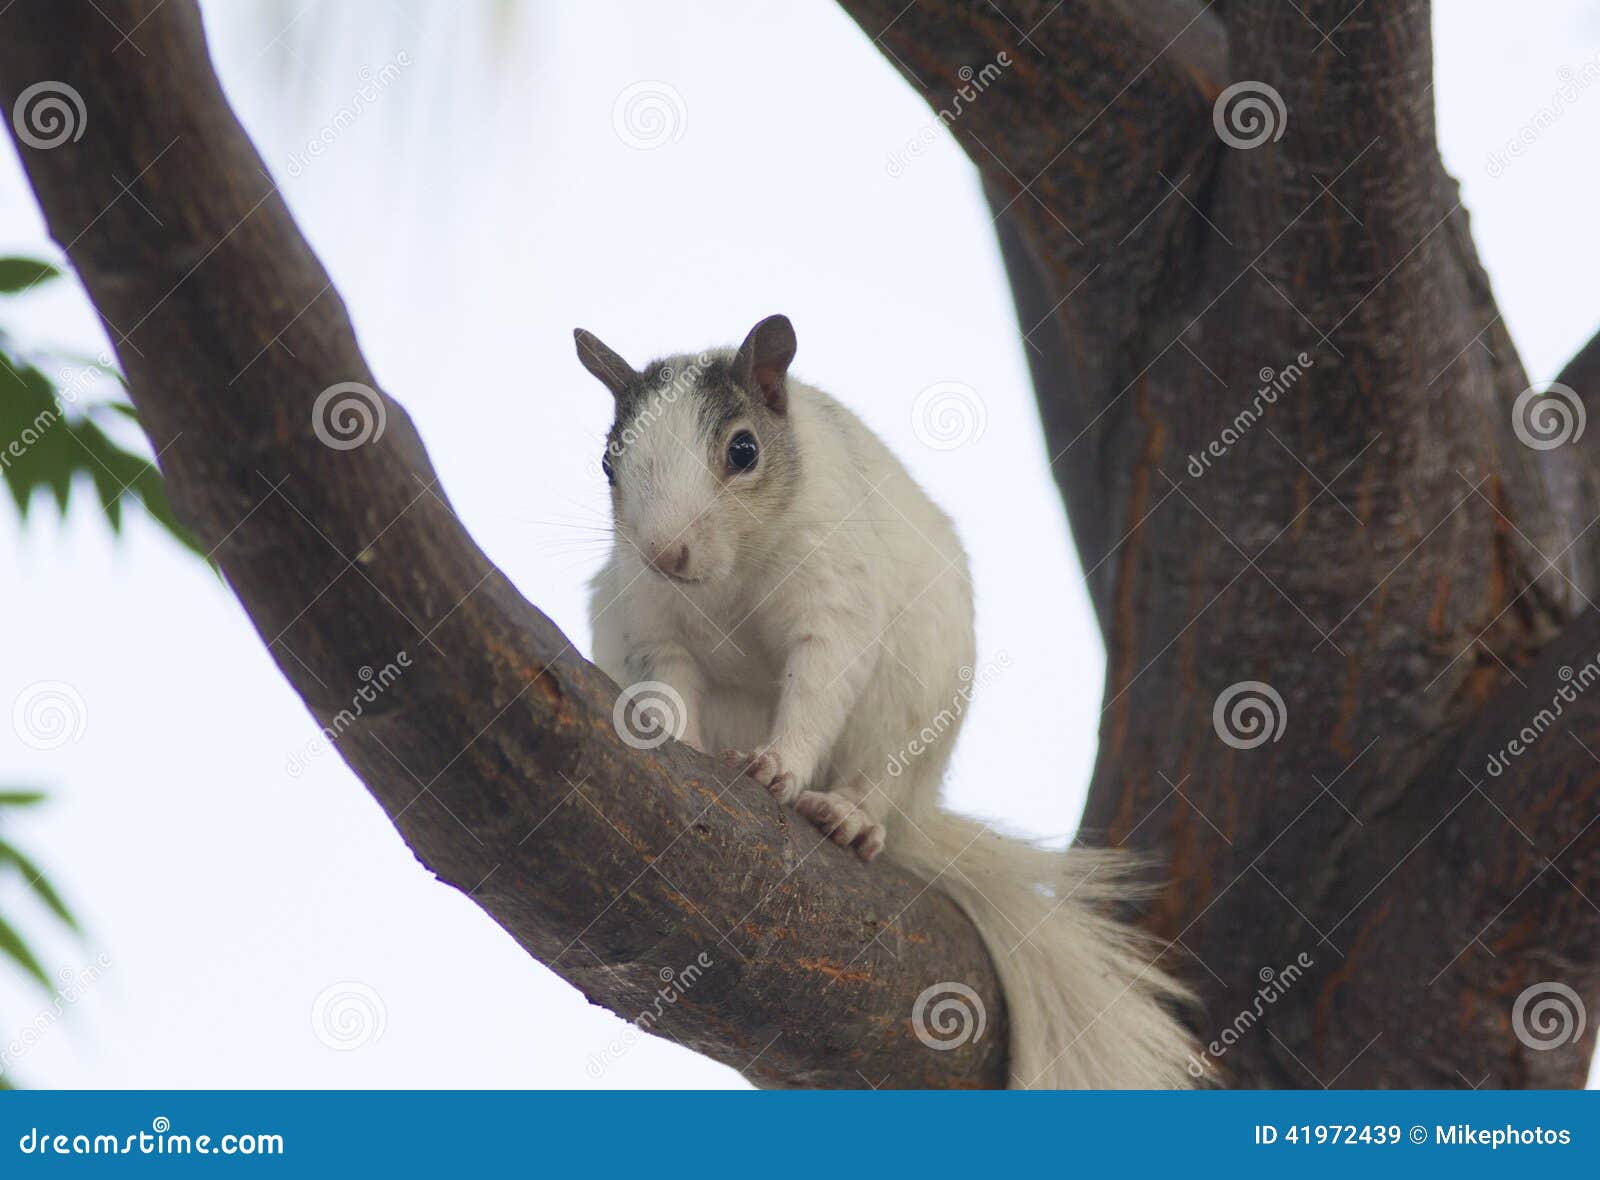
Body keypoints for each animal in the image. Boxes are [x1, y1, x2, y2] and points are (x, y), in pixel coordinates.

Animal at [577, 314, 1195, 1088]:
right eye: (608, 463)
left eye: (743, 450)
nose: (667, 554)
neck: (729, 575)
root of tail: (916, 820)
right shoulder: (650, 622)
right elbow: (667, 680)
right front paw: (669, 734)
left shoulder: (834, 595)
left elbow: (820, 681)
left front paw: (779, 766)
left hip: (909, 714)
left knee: (878, 780)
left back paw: (850, 816)